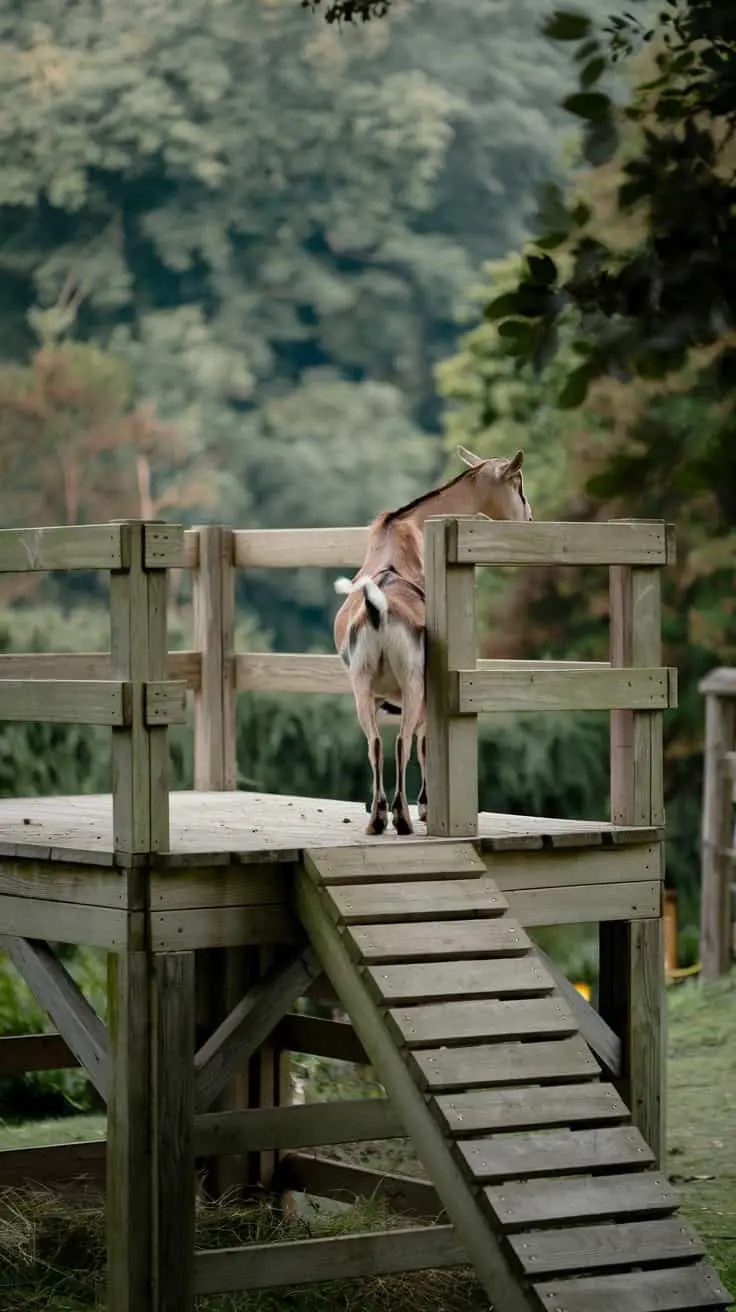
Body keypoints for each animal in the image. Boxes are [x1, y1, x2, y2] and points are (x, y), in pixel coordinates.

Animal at [334, 445, 532, 835]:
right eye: (517, 483)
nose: (529, 518)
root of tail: (378, 612)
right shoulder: (430, 685)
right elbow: (425, 741)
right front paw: (426, 806)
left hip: (362, 685)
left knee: (375, 742)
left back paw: (377, 818)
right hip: (412, 682)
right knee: (403, 741)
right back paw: (402, 818)